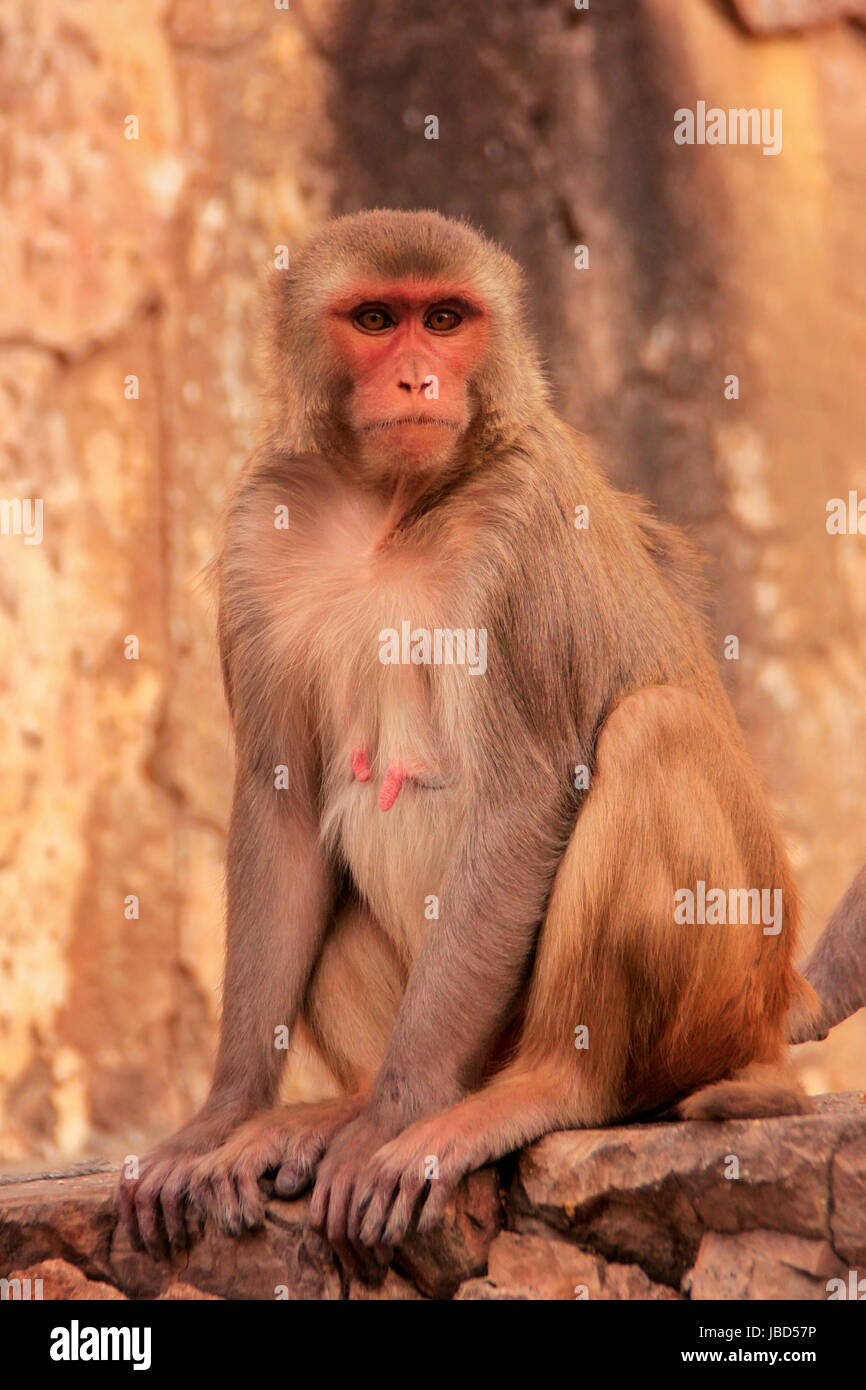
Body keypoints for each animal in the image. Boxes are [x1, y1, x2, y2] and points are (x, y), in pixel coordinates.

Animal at [119, 208, 865, 1269]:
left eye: (446, 318)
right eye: (377, 319)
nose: (418, 381)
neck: (392, 509)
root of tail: (776, 991)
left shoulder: (523, 530)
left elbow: (525, 797)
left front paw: (394, 1119)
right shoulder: (262, 529)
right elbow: (282, 806)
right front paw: (222, 1116)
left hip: (713, 1003)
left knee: (654, 733)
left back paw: (534, 1091)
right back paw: (338, 1107)